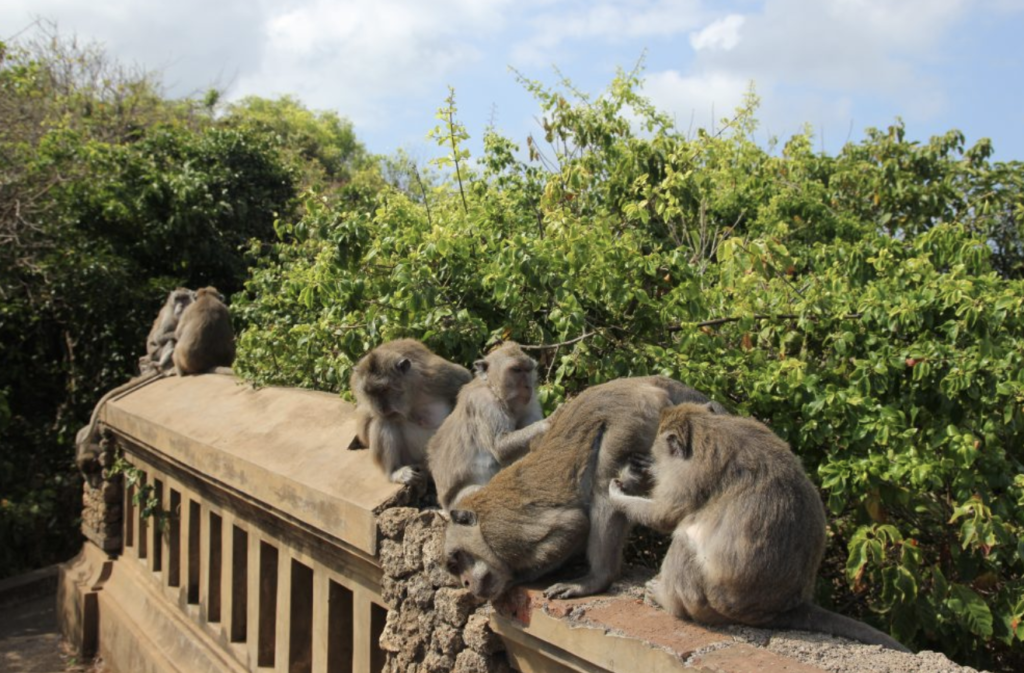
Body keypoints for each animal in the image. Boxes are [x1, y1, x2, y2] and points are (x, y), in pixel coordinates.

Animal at [349, 339, 473, 489]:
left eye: (385, 389)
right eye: (370, 392)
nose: (381, 408)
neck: (410, 395)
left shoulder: (439, 376)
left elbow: (464, 380)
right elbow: (364, 432)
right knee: (384, 421)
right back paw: (394, 471)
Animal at [427, 342, 548, 511]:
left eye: (529, 370)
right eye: (516, 370)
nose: (528, 386)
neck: (493, 389)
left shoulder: (530, 402)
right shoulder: (485, 404)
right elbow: (499, 447)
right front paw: (547, 423)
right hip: (458, 503)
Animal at [442, 376, 726, 601]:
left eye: (457, 559)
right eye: (455, 567)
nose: (466, 583)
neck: (481, 526)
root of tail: (644, 382)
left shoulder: (503, 533)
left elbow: (574, 524)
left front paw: (517, 577)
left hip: (634, 416)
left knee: (603, 483)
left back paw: (597, 578)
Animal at [607, 403, 909, 652]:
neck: (708, 427)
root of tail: (784, 608)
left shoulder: (689, 475)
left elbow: (665, 516)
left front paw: (618, 496)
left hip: (708, 601)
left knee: (683, 539)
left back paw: (666, 600)